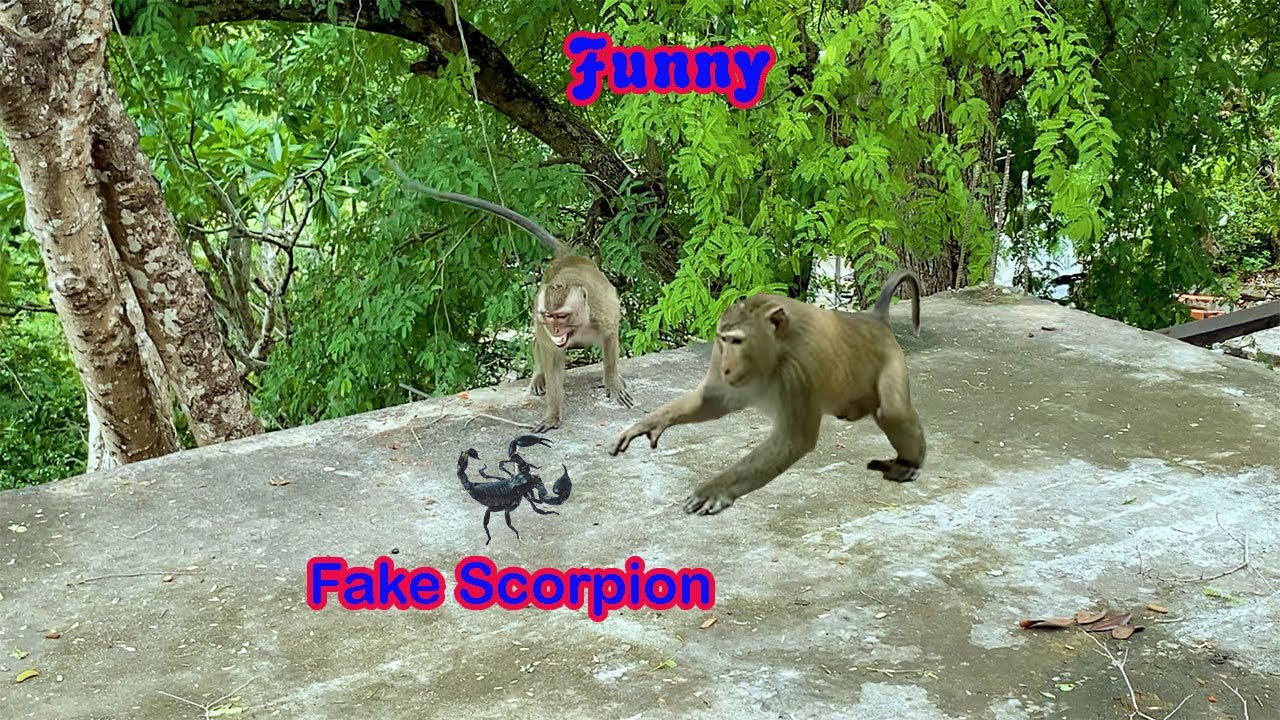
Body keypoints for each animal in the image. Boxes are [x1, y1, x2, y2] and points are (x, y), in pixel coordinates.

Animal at [387, 159, 634, 433]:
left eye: (562, 316)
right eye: (549, 316)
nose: (556, 330)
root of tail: (568, 257)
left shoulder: (603, 314)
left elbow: (610, 341)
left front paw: (612, 382)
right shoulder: (542, 322)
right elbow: (552, 358)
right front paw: (553, 414)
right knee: (539, 345)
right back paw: (539, 376)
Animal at [609, 269, 924, 516]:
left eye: (737, 341)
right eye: (724, 340)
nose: (726, 367)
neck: (776, 348)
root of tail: (874, 320)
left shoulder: (799, 369)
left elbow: (794, 440)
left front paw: (716, 489)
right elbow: (712, 401)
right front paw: (653, 421)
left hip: (889, 357)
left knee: (893, 412)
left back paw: (908, 462)